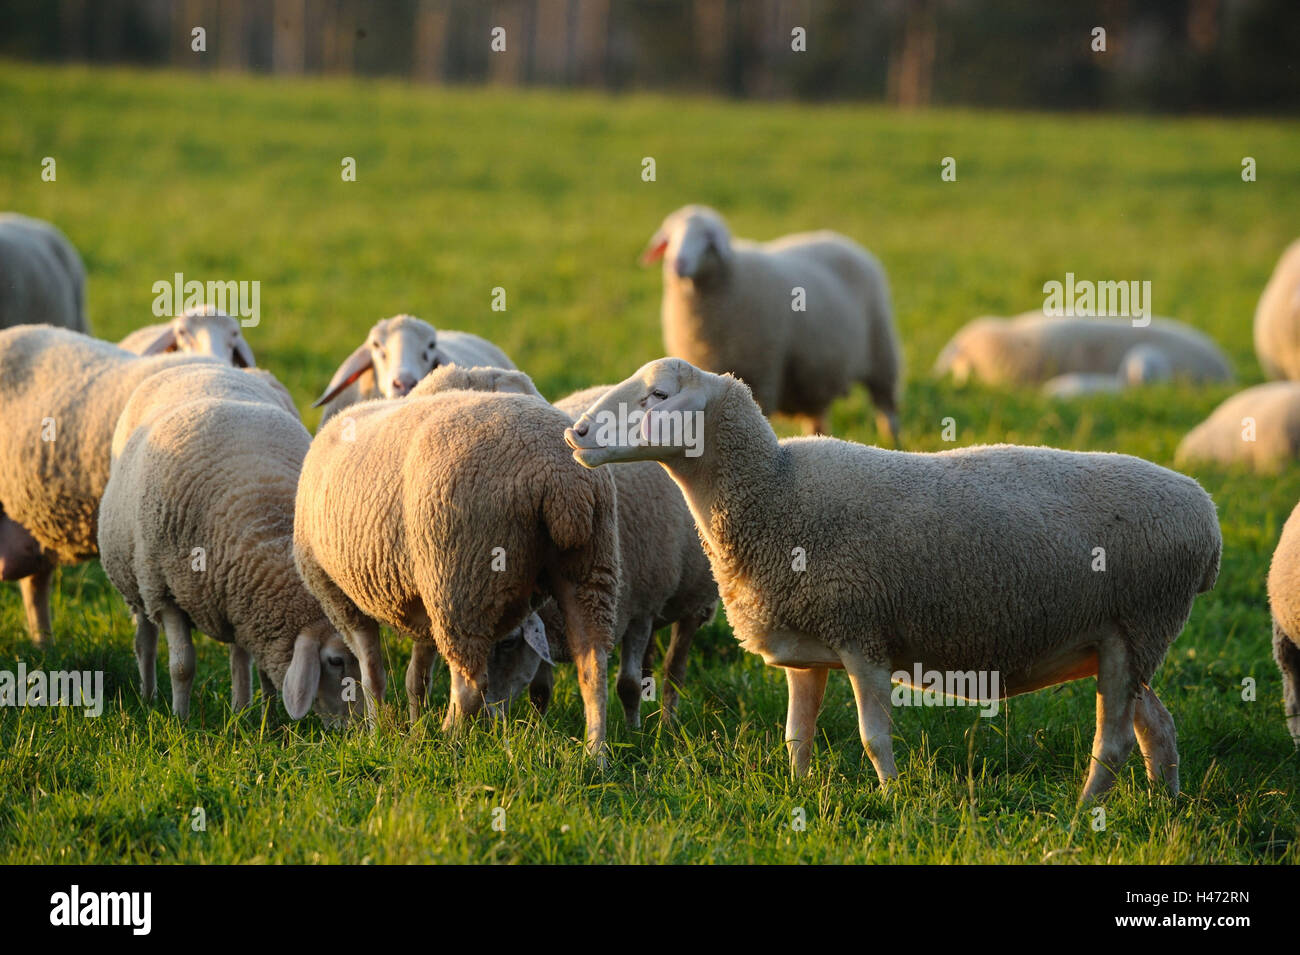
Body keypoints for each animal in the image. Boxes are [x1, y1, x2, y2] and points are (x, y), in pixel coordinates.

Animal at [98, 363, 359, 721]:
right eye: (335, 661)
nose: (359, 727)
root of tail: (199, 364)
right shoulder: (165, 595)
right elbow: (183, 666)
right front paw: (181, 719)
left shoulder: (243, 599)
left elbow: (251, 664)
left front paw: (262, 717)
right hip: (136, 580)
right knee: (145, 641)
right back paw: (148, 696)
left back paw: (240, 707)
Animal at [293, 386, 621, 759]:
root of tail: (558, 477)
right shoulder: (421, 599)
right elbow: (417, 675)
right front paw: (413, 729)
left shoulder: (338, 596)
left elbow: (371, 673)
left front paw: (379, 734)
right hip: (589, 567)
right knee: (593, 665)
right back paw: (595, 754)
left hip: (461, 576)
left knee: (470, 683)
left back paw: (449, 740)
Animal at [564, 357, 1222, 802]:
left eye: (658, 394)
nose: (577, 434)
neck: (773, 492)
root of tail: (1207, 516)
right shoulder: (807, 648)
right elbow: (796, 734)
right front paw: (799, 791)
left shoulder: (863, 635)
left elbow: (873, 737)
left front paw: (891, 799)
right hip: (1121, 640)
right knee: (1157, 727)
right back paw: (1165, 805)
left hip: (1137, 625)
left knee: (1112, 744)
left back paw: (1085, 815)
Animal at [644, 205, 901, 442]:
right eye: (669, 237)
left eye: (708, 238)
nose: (677, 263)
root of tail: (842, 240)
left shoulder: (760, 376)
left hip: (881, 353)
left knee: (887, 409)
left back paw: (892, 442)